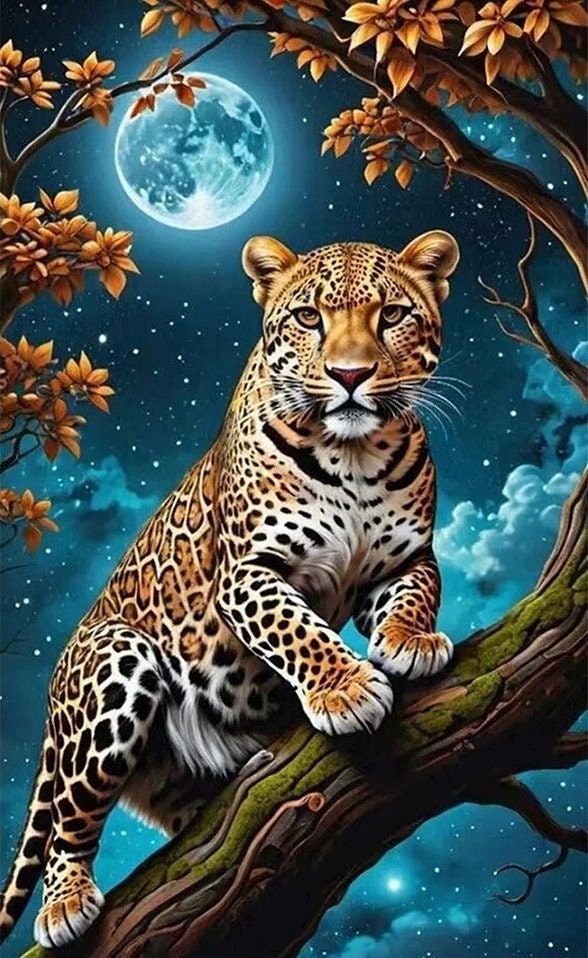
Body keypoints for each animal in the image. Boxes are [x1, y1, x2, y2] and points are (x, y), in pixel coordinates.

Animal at [0, 228, 460, 948]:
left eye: (391, 315)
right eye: (309, 318)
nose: (350, 375)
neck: (353, 456)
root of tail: (54, 692)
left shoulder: (407, 557)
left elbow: (414, 594)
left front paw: (409, 641)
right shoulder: (246, 572)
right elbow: (295, 627)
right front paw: (346, 689)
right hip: (114, 661)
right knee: (70, 824)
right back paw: (64, 905)